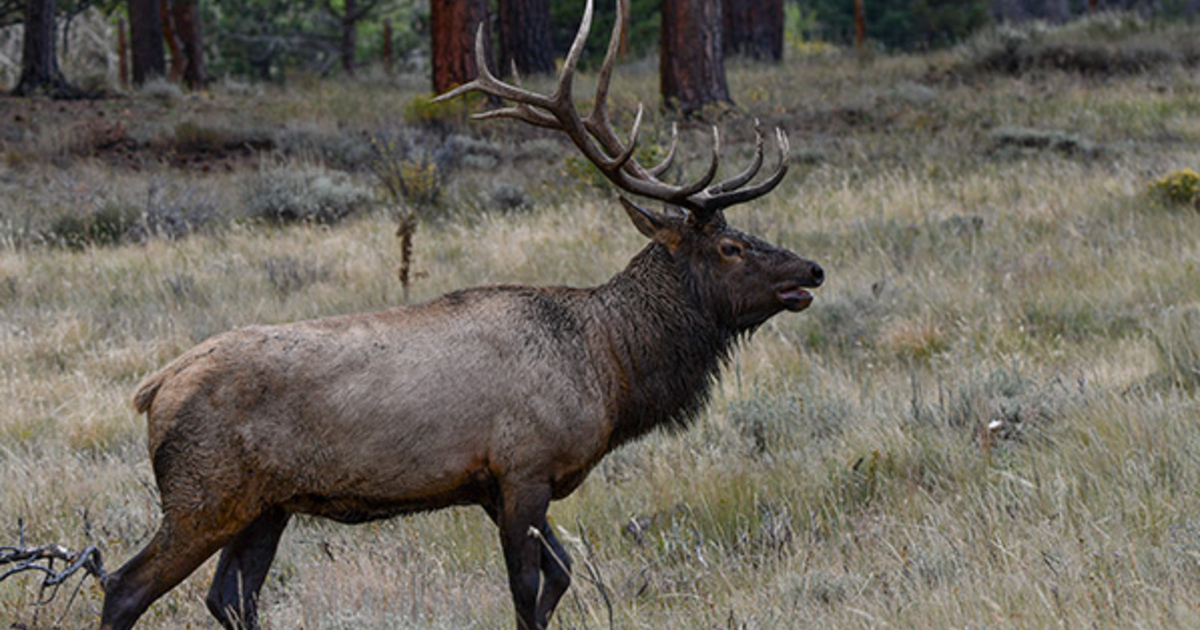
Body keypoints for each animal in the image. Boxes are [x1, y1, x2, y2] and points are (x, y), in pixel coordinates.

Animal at [97, 1, 823, 629]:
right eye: (730, 248)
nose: (812, 270)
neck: (611, 371)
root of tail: (153, 388)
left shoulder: (502, 486)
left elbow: (562, 576)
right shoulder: (523, 469)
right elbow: (527, 590)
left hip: (264, 506)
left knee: (229, 596)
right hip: (203, 495)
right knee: (125, 586)